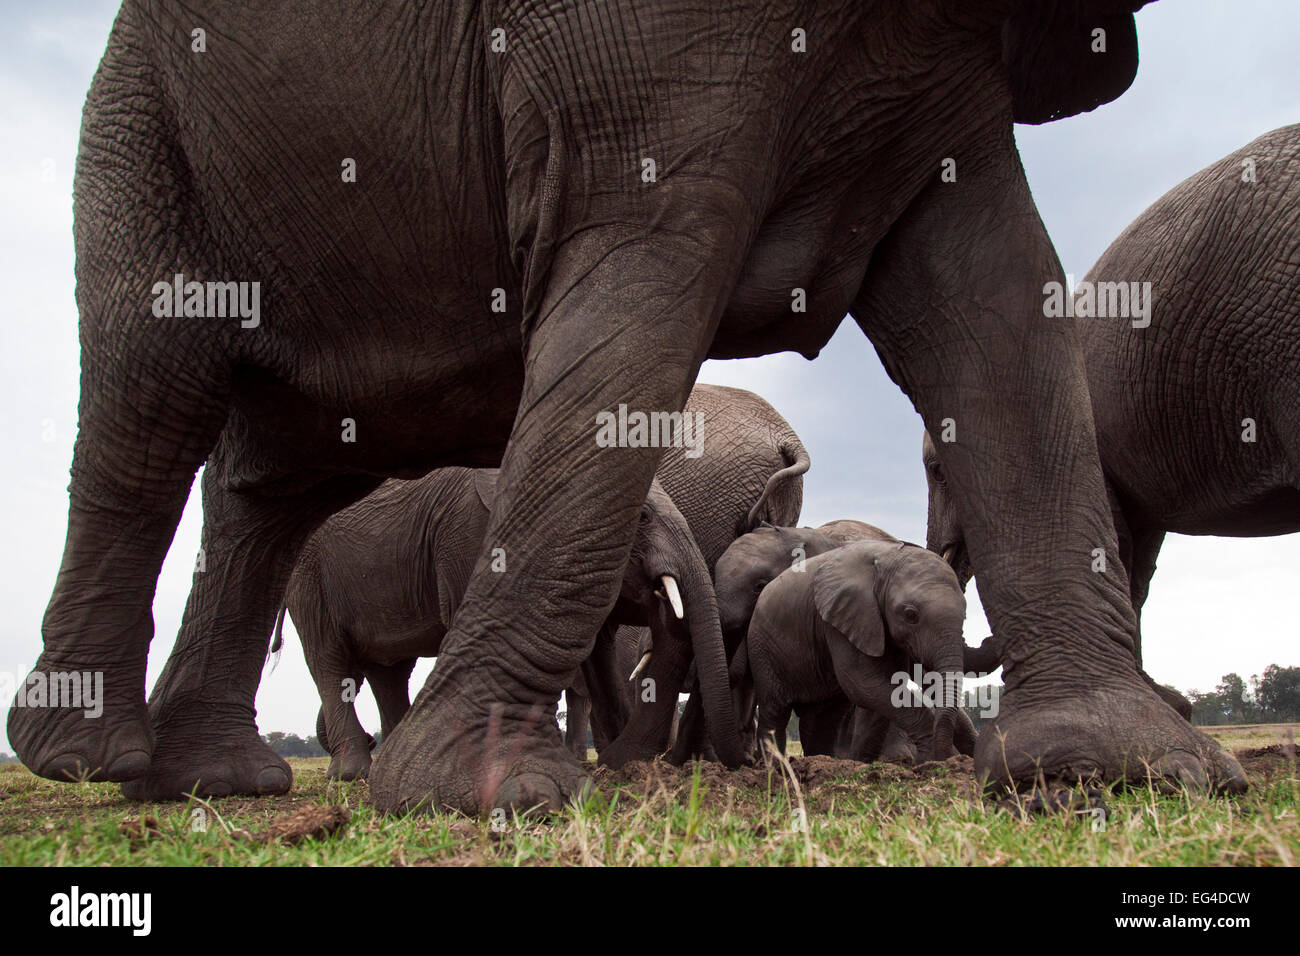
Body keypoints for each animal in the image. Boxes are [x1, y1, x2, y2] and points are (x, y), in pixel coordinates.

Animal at [277, 467, 734, 779]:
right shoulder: (471, 536)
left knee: (388, 671)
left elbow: (595, 653)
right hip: (309, 576)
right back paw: (353, 772)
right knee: (328, 658)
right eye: (642, 517)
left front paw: (616, 764)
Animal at [749, 540, 969, 762]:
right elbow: (863, 682)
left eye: (965, 615)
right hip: (762, 647)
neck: (887, 556)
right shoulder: (841, 617)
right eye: (910, 615)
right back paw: (773, 764)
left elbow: (883, 686)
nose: (945, 759)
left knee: (821, 720)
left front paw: (861, 762)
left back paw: (821, 760)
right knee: (775, 710)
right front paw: (931, 757)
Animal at [924, 124, 1300, 723]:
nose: (984, 640)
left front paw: (1161, 706)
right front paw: (1165, 705)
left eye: (938, 471)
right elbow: (1132, 557)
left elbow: (1121, 555)